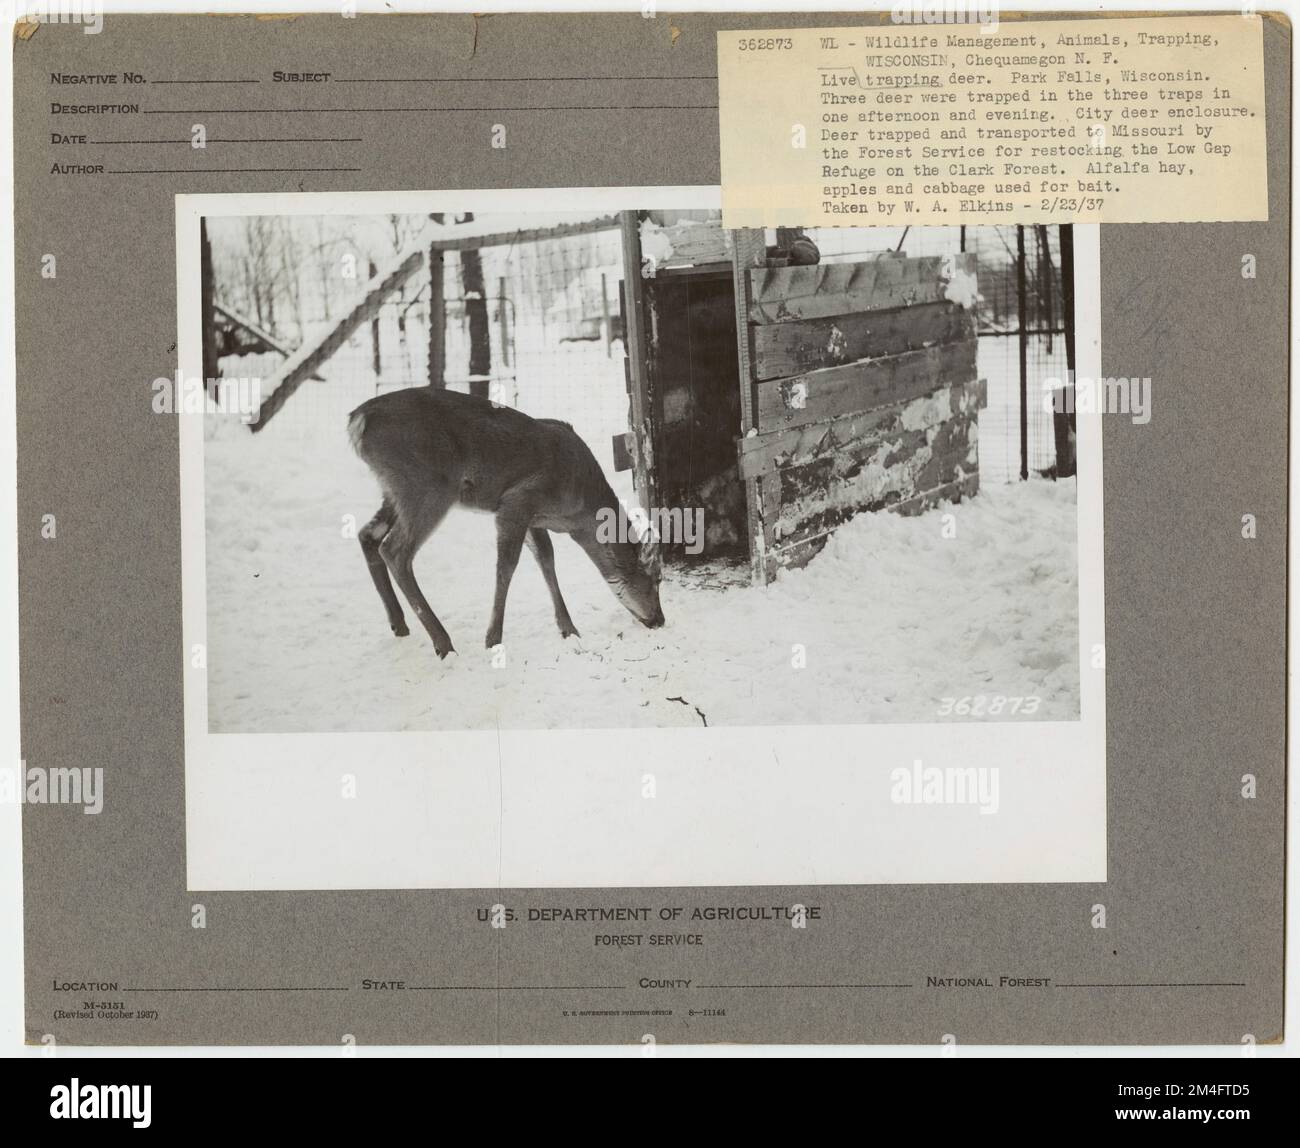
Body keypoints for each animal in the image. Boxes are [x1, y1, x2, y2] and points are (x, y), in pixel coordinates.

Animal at [347, 386, 664, 658]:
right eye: (656, 579)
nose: (659, 619)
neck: (577, 512)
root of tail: (357, 421)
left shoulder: (534, 517)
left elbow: (546, 558)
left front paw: (568, 628)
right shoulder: (517, 501)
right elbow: (507, 567)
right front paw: (493, 638)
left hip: (393, 489)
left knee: (367, 535)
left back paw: (399, 624)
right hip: (426, 485)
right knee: (395, 550)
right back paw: (443, 643)